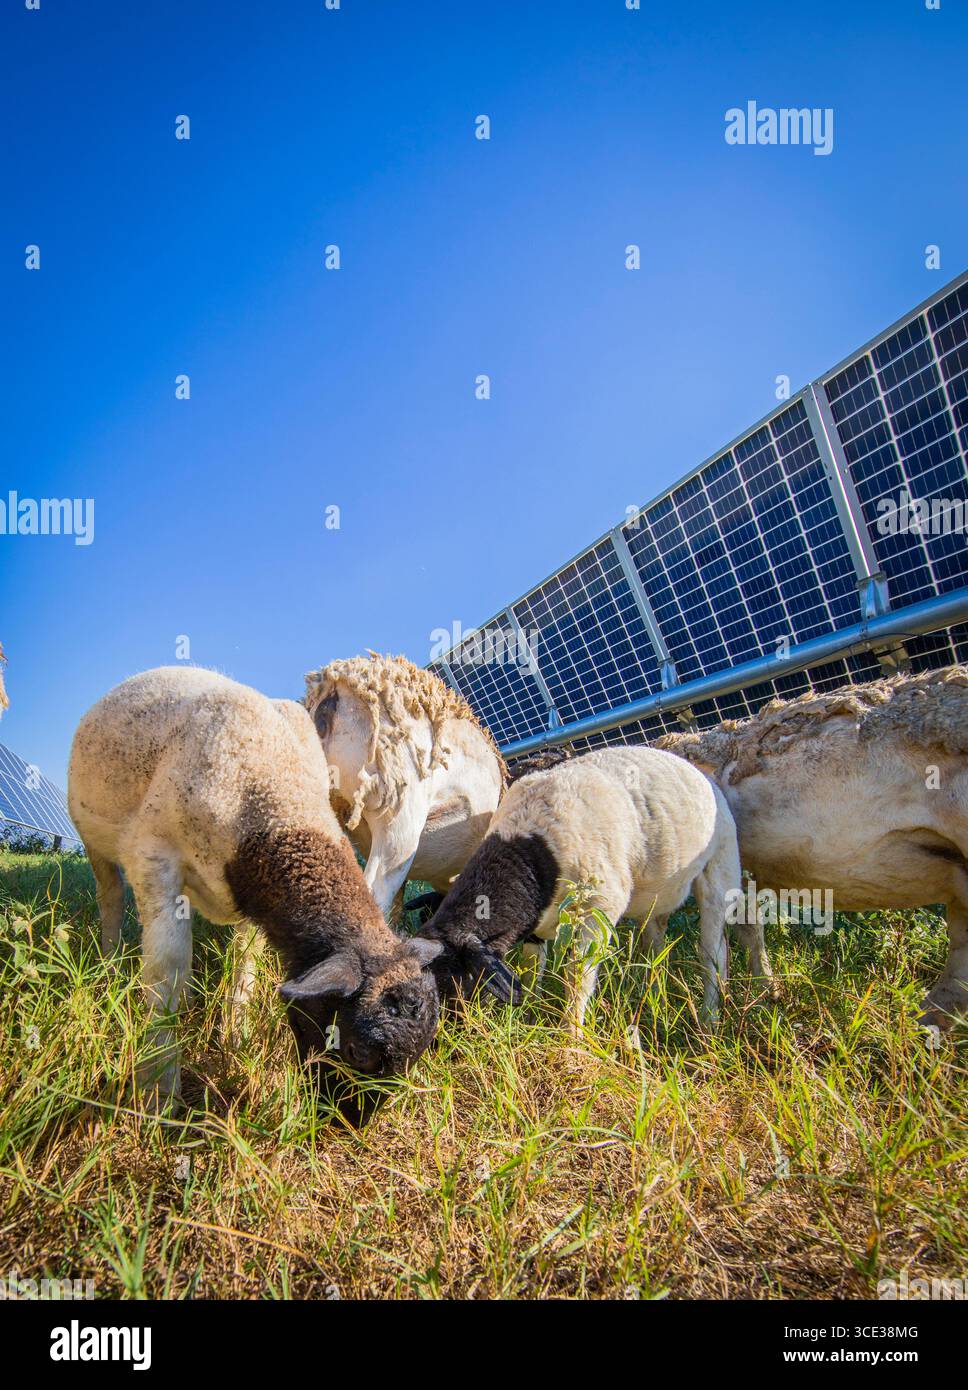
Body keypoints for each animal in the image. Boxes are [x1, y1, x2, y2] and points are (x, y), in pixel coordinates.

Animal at [67, 667, 443, 1098]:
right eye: (357, 1053)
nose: (335, 1116)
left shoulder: (255, 897)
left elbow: (244, 962)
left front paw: (235, 1034)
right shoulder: (153, 857)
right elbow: (167, 971)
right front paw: (159, 1088)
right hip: (93, 838)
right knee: (110, 897)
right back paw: (109, 968)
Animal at [416, 745, 771, 1033]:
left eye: (451, 980)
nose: (444, 1042)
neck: (531, 846)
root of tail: (699, 771)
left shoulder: (598, 909)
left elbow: (578, 976)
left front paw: (571, 1036)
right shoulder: (535, 927)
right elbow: (532, 970)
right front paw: (529, 1014)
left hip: (721, 868)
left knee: (715, 949)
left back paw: (714, 1018)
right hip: (659, 893)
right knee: (658, 944)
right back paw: (655, 998)